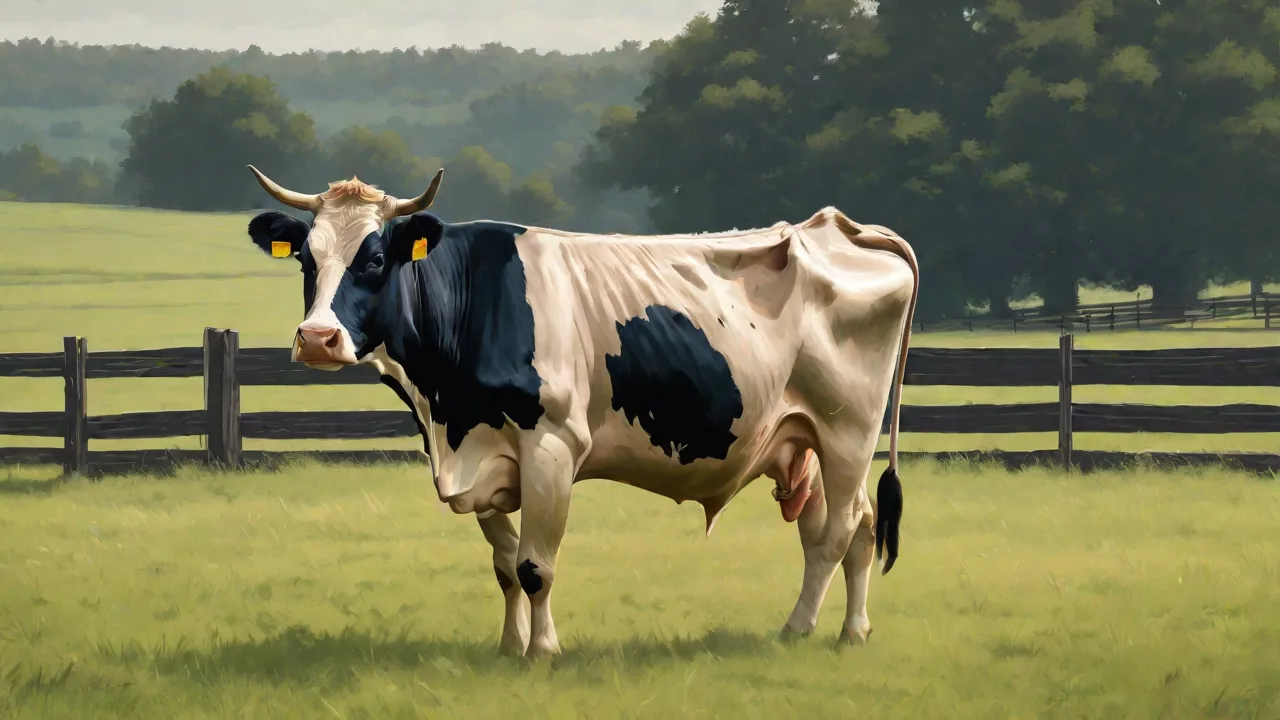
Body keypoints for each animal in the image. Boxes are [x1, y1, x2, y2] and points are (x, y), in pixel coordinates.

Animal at [242, 165, 919, 660]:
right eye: (306, 259)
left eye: (376, 259)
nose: (317, 339)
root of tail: (837, 226)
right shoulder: (485, 456)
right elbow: (503, 566)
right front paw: (508, 646)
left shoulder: (550, 447)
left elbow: (535, 565)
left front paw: (542, 651)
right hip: (806, 438)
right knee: (852, 529)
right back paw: (851, 631)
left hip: (848, 431)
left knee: (839, 531)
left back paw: (799, 628)